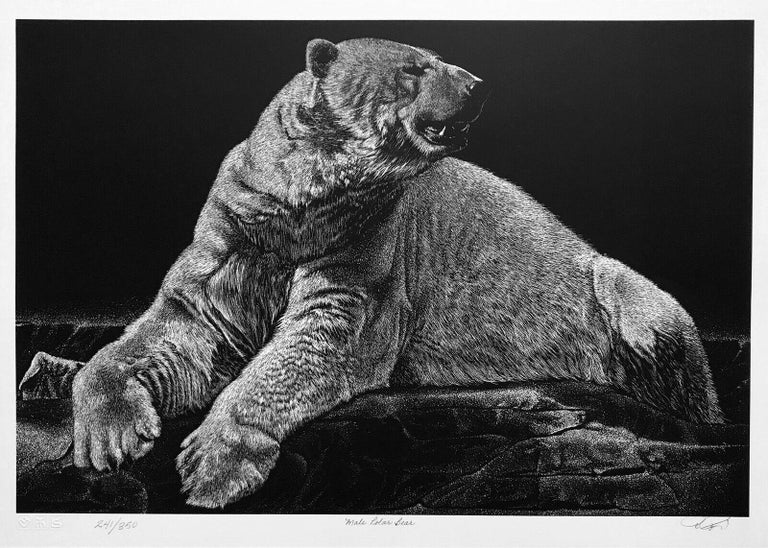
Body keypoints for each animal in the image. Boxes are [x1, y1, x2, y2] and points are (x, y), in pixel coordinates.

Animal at [69, 37, 724, 509]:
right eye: (413, 67)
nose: (479, 84)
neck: (304, 199)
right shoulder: (239, 231)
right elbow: (180, 329)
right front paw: (111, 436)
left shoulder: (369, 243)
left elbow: (316, 343)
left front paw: (210, 466)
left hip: (608, 281)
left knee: (651, 323)